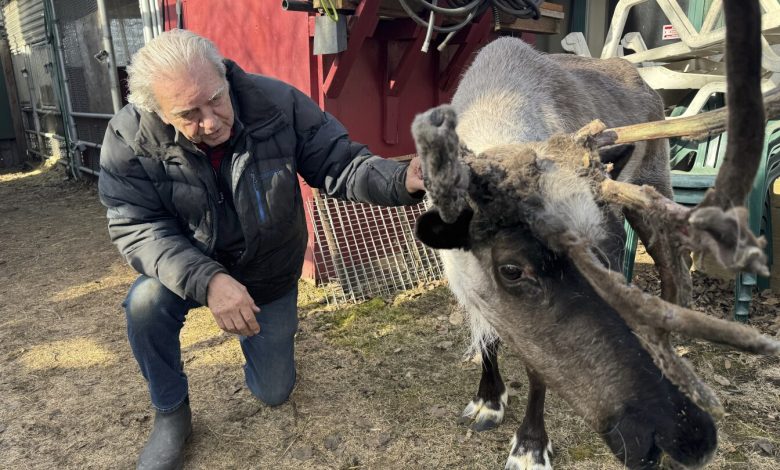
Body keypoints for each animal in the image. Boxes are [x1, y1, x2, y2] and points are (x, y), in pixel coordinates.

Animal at [411, 0, 780, 468]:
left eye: (599, 255)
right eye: (512, 269)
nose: (684, 438)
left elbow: (537, 369)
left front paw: (530, 444)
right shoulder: (463, 276)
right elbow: (488, 338)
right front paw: (489, 400)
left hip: (653, 190)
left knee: (676, 272)